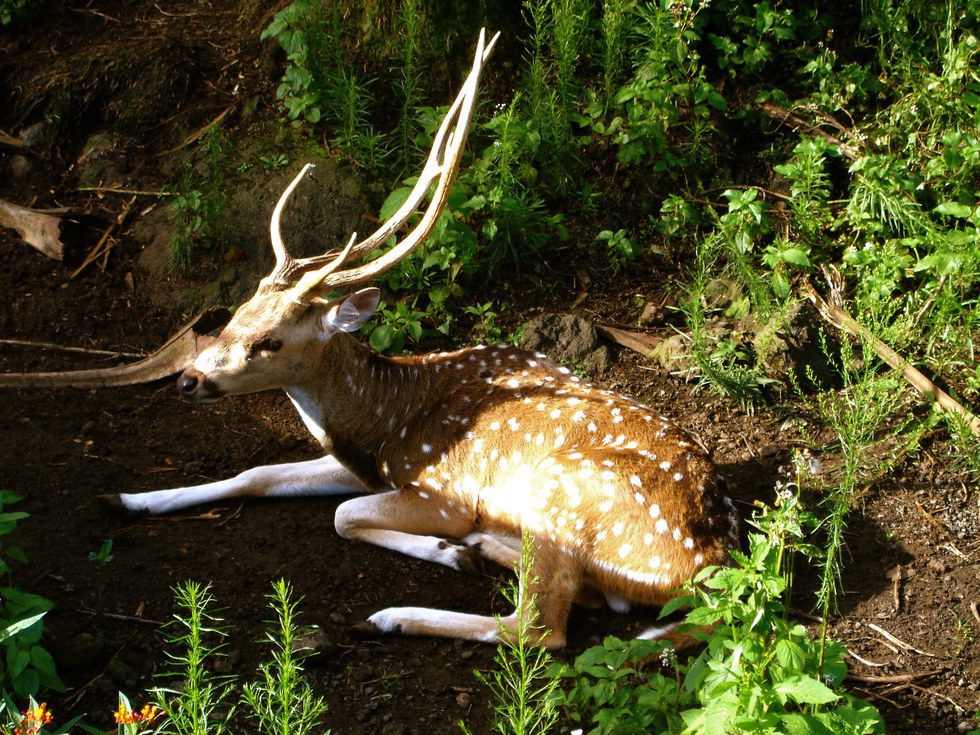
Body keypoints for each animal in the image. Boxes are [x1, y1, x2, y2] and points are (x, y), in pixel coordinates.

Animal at [109, 30, 739, 649]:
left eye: (271, 341)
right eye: (236, 314)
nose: (189, 379)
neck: (383, 419)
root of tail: (706, 567)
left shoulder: (440, 490)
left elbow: (345, 516)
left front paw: (445, 549)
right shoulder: (364, 463)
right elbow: (259, 475)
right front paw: (132, 499)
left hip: (559, 494)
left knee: (541, 629)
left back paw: (400, 609)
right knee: (580, 600)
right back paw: (486, 550)